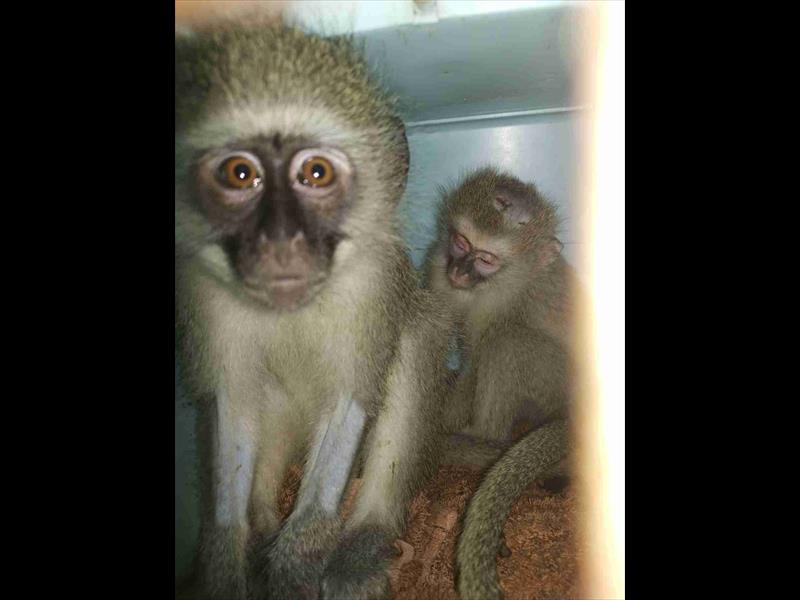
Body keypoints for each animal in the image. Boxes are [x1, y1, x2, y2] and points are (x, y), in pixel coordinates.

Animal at [175, 21, 453, 600]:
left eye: (317, 173)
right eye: (240, 174)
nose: (280, 242)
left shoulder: (374, 284)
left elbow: (350, 399)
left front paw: (295, 567)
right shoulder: (204, 294)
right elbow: (231, 403)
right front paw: (226, 567)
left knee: (415, 338)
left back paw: (364, 538)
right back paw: (261, 519)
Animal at [423, 167, 578, 600]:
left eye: (486, 260)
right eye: (461, 242)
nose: (459, 271)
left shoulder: (502, 301)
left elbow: (478, 358)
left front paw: (448, 426)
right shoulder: (438, 266)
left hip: (553, 382)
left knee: (504, 342)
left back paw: (483, 437)